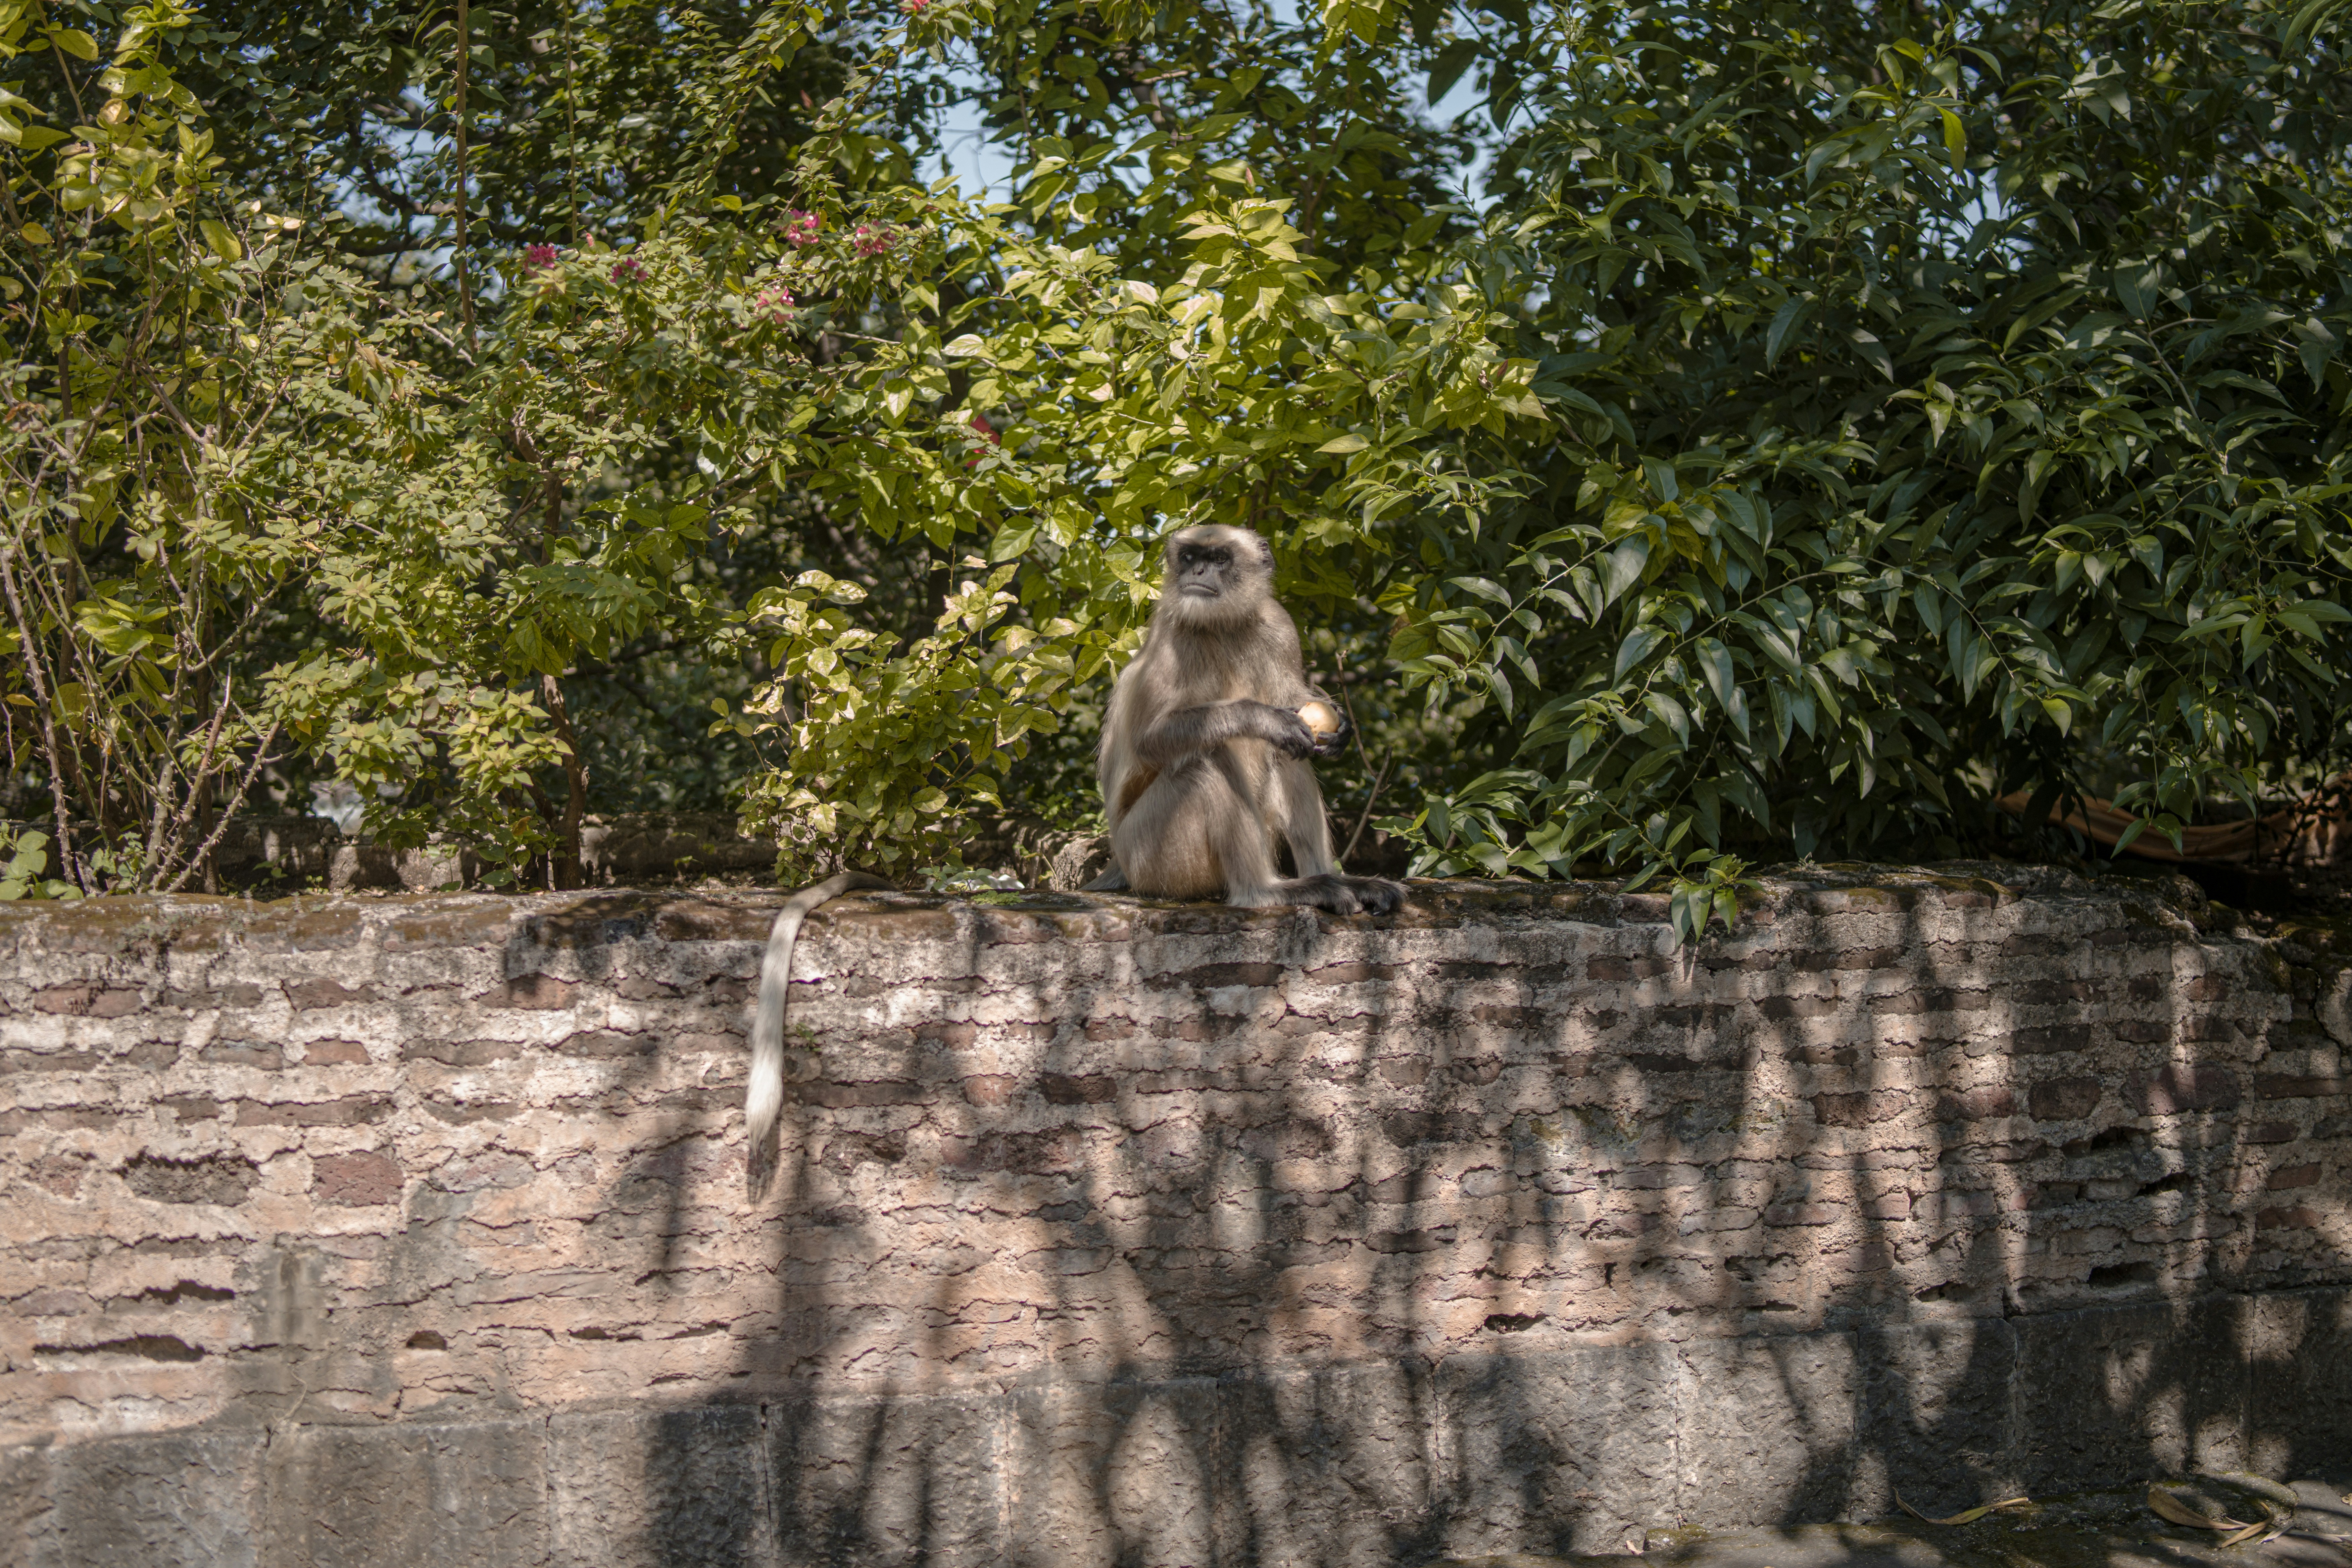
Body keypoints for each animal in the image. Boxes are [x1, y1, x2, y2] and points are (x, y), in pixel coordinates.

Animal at [1092, 523, 1406, 916]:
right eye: (1190, 558)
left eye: (1219, 559)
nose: (1197, 572)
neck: (1223, 624)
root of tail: (1119, 861)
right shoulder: (1173, 635)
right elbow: (1147, 741)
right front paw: (1265, 719)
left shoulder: (1278, 622)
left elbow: (1293, 699)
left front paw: (1344, 728)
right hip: (1149, 856)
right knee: (1208, 760)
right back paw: (1266, 891)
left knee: (1288, 753)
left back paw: (1334, 879)